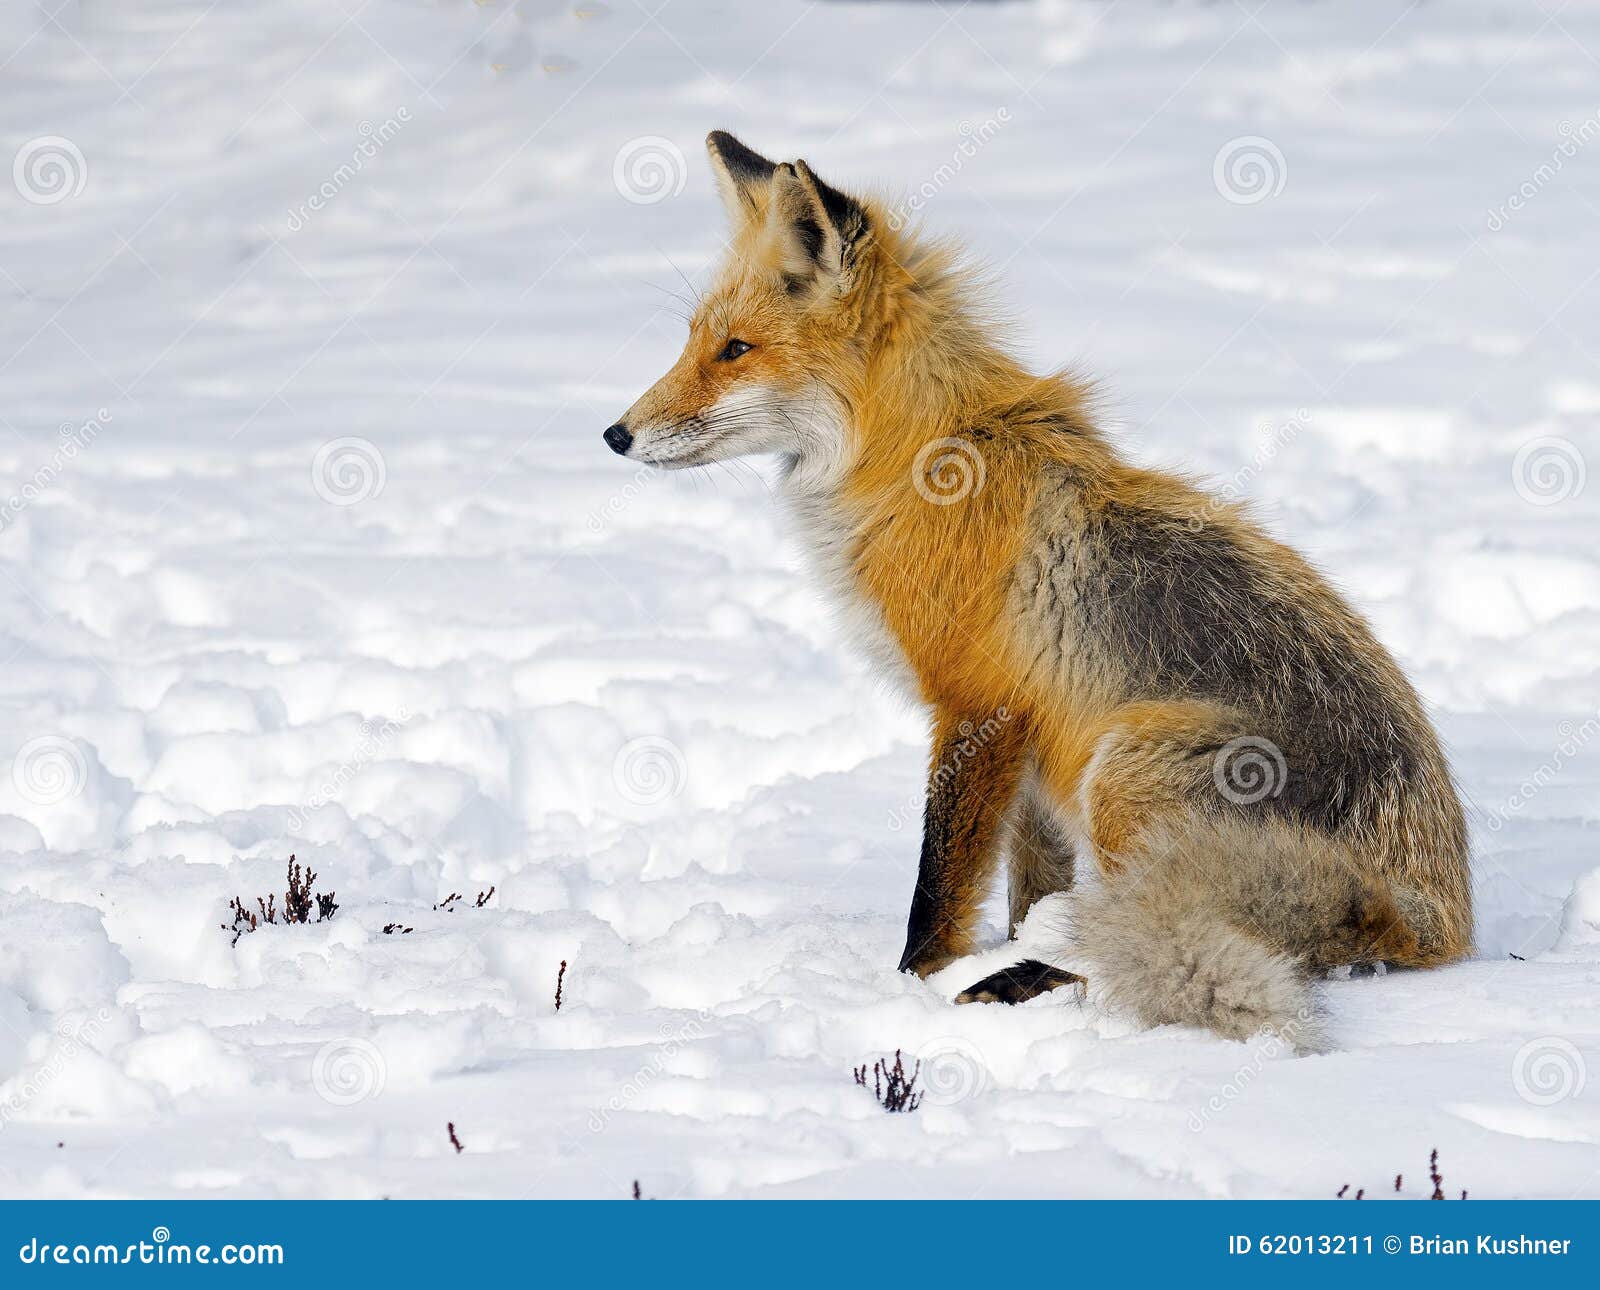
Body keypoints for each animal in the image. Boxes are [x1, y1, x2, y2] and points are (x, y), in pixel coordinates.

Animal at [602, 131, 1472, 1045]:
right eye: (693, 339)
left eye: (736, 351)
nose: (615, 434)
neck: (918, 456)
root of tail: (1442, 919)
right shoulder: (1028, 728)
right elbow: (1031, 884)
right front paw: (1008, 945)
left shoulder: (976, 705)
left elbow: (938, 885)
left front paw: (914, 988)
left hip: (1126, 767)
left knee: (1158, 932)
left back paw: (1033, 984)